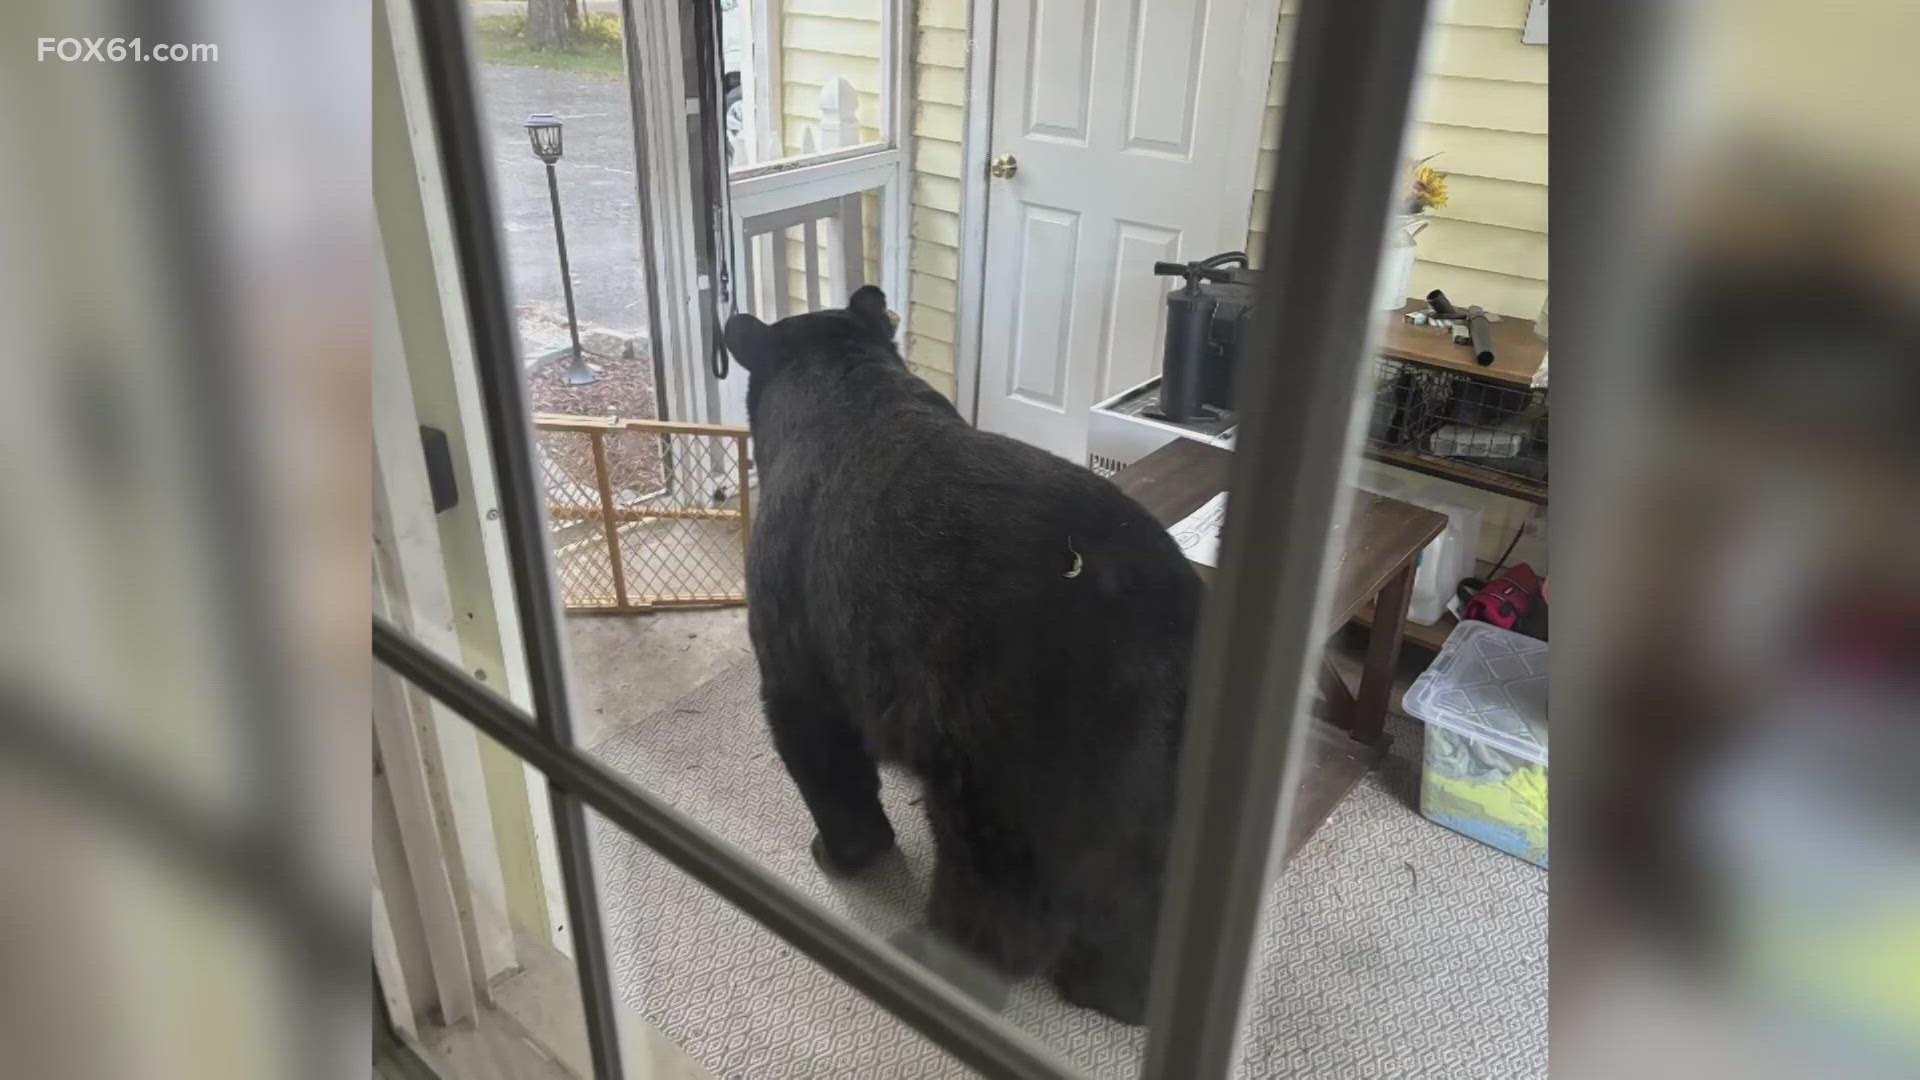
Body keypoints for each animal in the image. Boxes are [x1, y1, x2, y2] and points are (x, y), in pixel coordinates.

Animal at [724, 286, 1202, 1025]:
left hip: (1006, 758)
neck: (840, 380)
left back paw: (934, 963)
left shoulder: (800, 640)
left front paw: (842, 852)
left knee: (999, 895)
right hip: (1167, 784)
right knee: (1144, 895)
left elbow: (818, 747)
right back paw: (1119, 994)